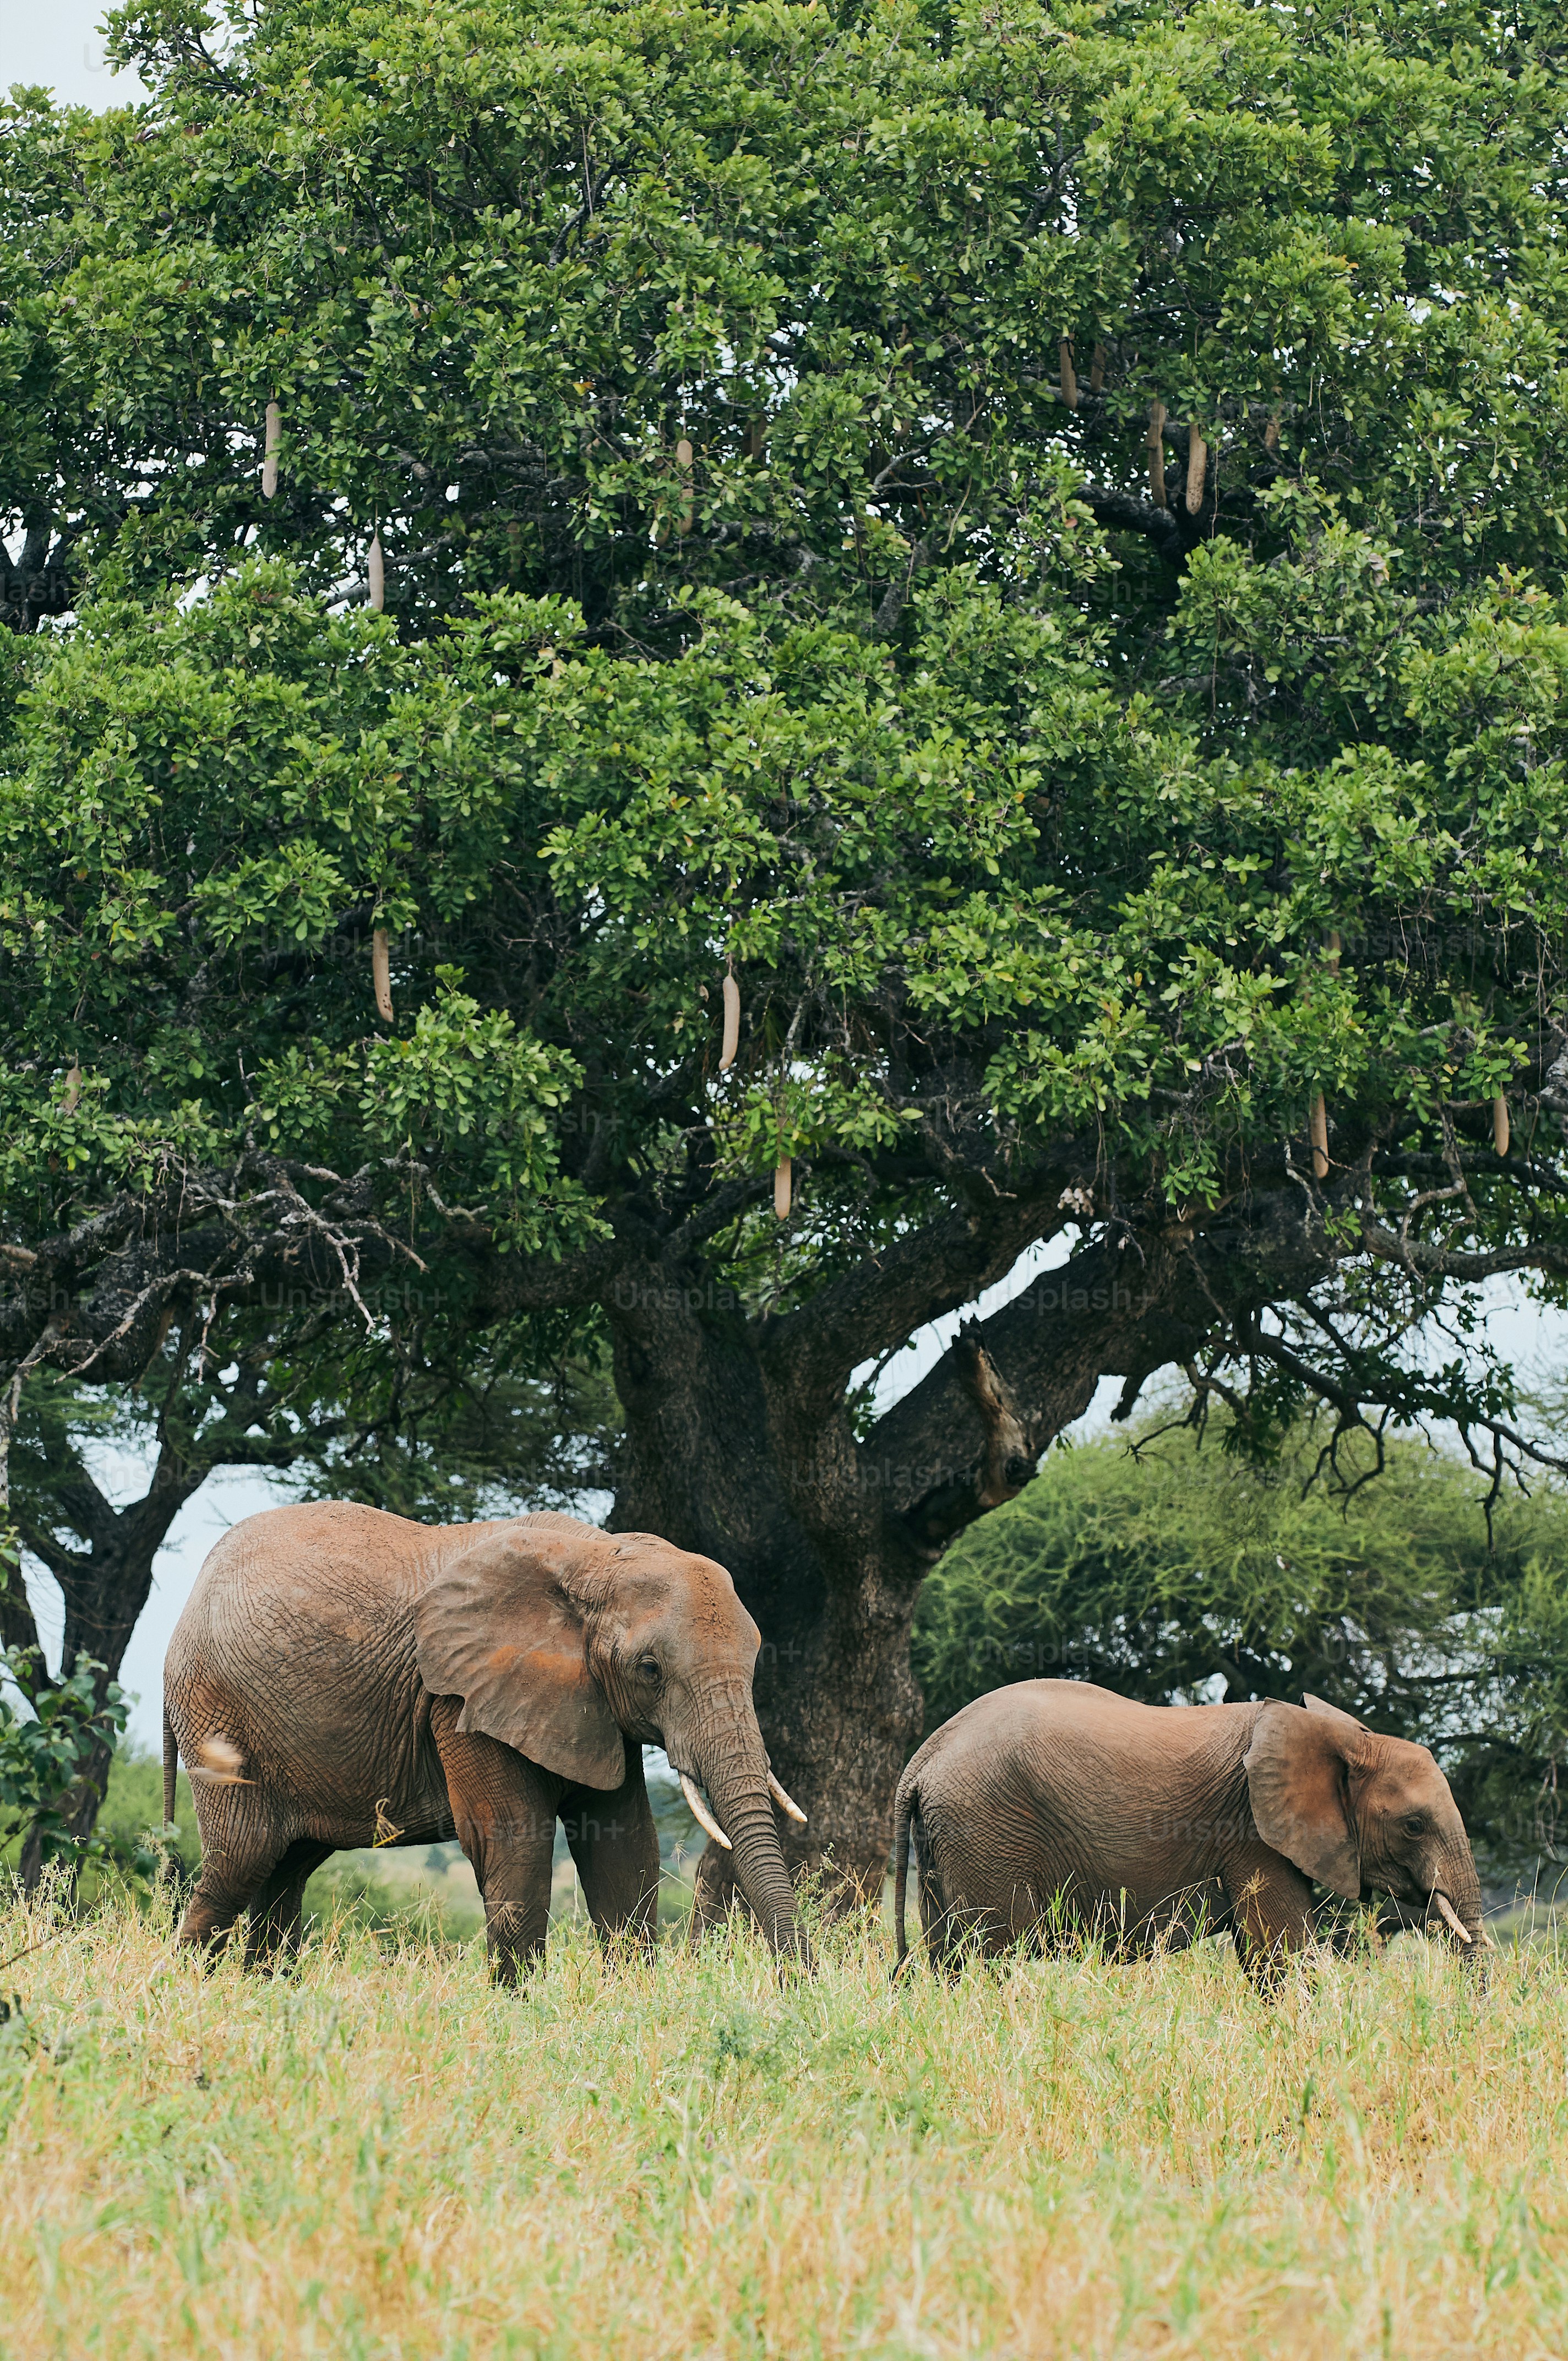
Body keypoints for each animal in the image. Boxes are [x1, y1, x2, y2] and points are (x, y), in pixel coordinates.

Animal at [163, 1501, 812, 1980]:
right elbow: (513, 1840)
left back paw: (263, 1990)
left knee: (286, 1866)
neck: (594, 1556)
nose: (797, 1986)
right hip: (217, 1708)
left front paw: (637, 2004)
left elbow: (624, 1846)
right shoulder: (460, 1699)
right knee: (241, 1858)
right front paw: (524, 2011)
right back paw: (189, 1988)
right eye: (649, 1669)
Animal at [893, 1680, 1486, 1987]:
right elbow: (1282, 1953)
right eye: (1414, 1825)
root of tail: (923, 1758)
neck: (1340, 1735)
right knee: (995, 1957)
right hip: (988, 1829)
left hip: (951, 1836)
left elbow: (1263, 1954)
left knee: (947, 1958)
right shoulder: (1248, 1831)